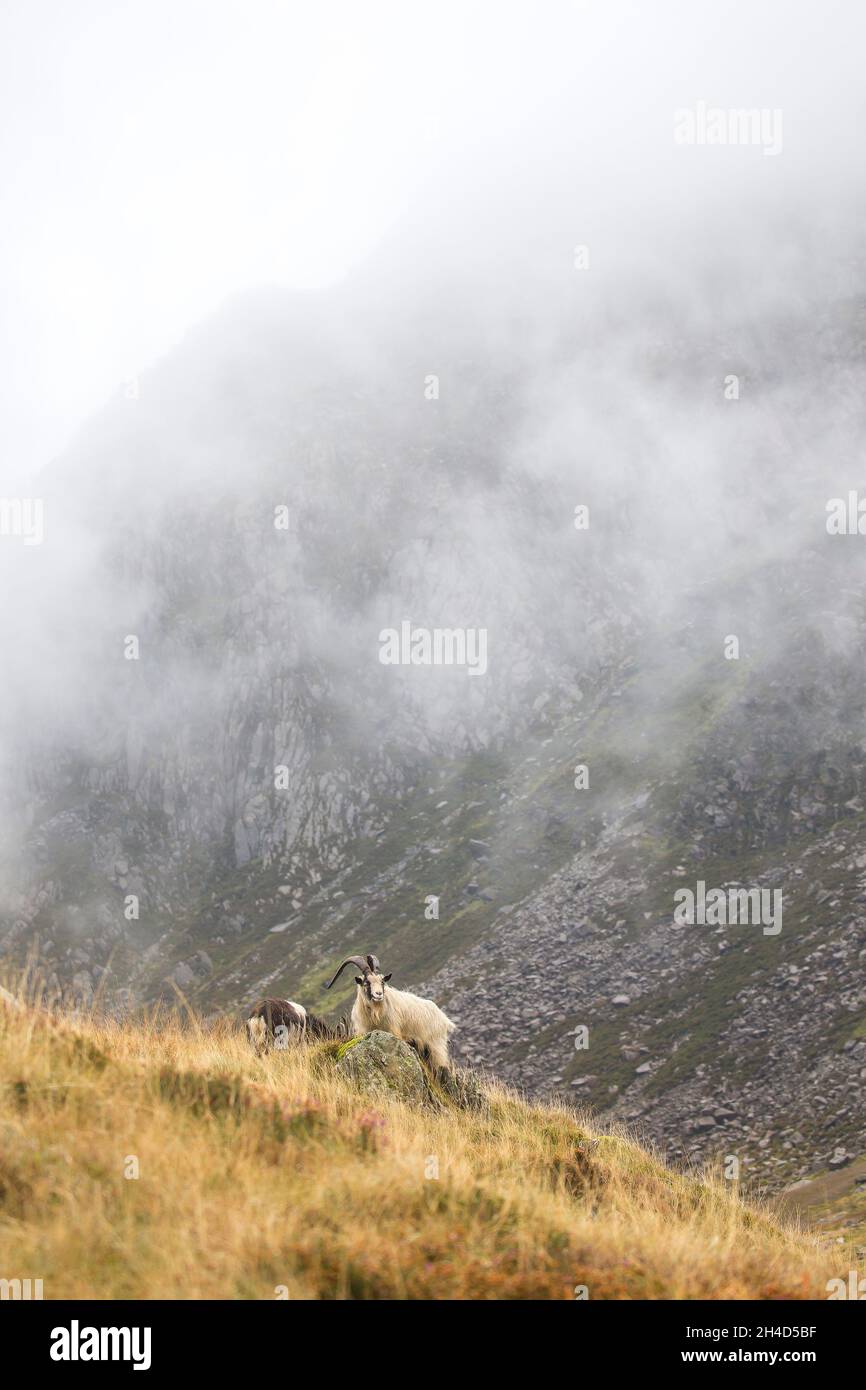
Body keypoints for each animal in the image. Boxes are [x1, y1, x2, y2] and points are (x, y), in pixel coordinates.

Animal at [325, 954, 456, 1071]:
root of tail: (445, 1019)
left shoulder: (394, 1031)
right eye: (366, 982)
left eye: (382, 982)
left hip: (436, 1047)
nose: (379, 994)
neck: (375, 1016)